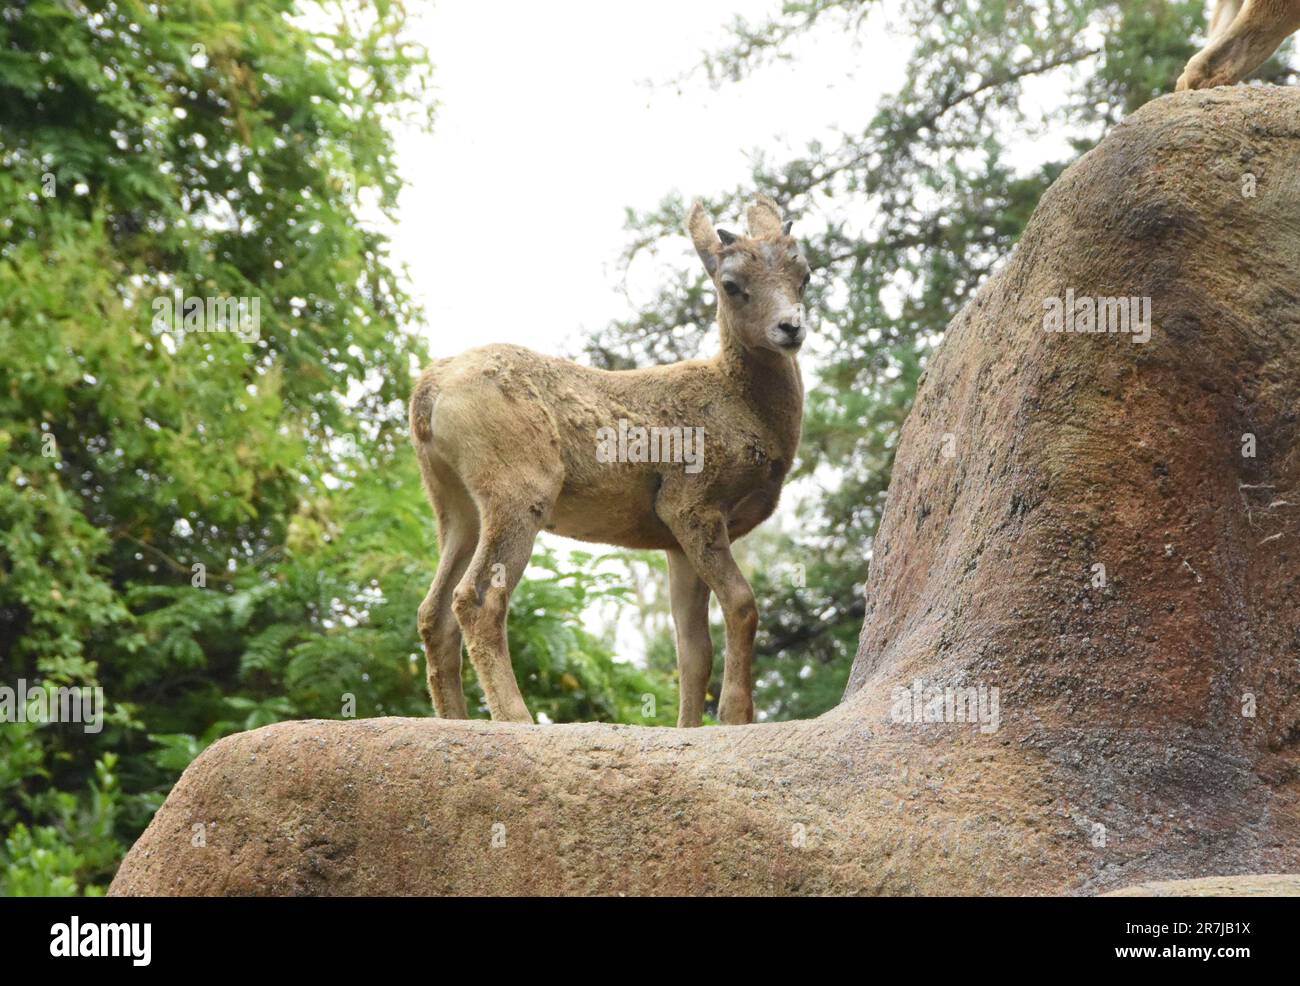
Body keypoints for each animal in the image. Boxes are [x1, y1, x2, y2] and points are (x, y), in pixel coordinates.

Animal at [408, 196, 810, 725]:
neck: (742, 404)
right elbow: (743, 605)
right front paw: (736, 718)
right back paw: (517, 719)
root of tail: (428, 393)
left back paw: (455, 720)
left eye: (804, 273)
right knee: (475, 599)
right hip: (519, 487)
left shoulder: (675, 541)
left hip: (453, 503)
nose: (791, 327)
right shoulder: (691, 503)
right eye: (731, 285)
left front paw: (687, 728)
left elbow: (692, 650)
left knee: (433, 611)